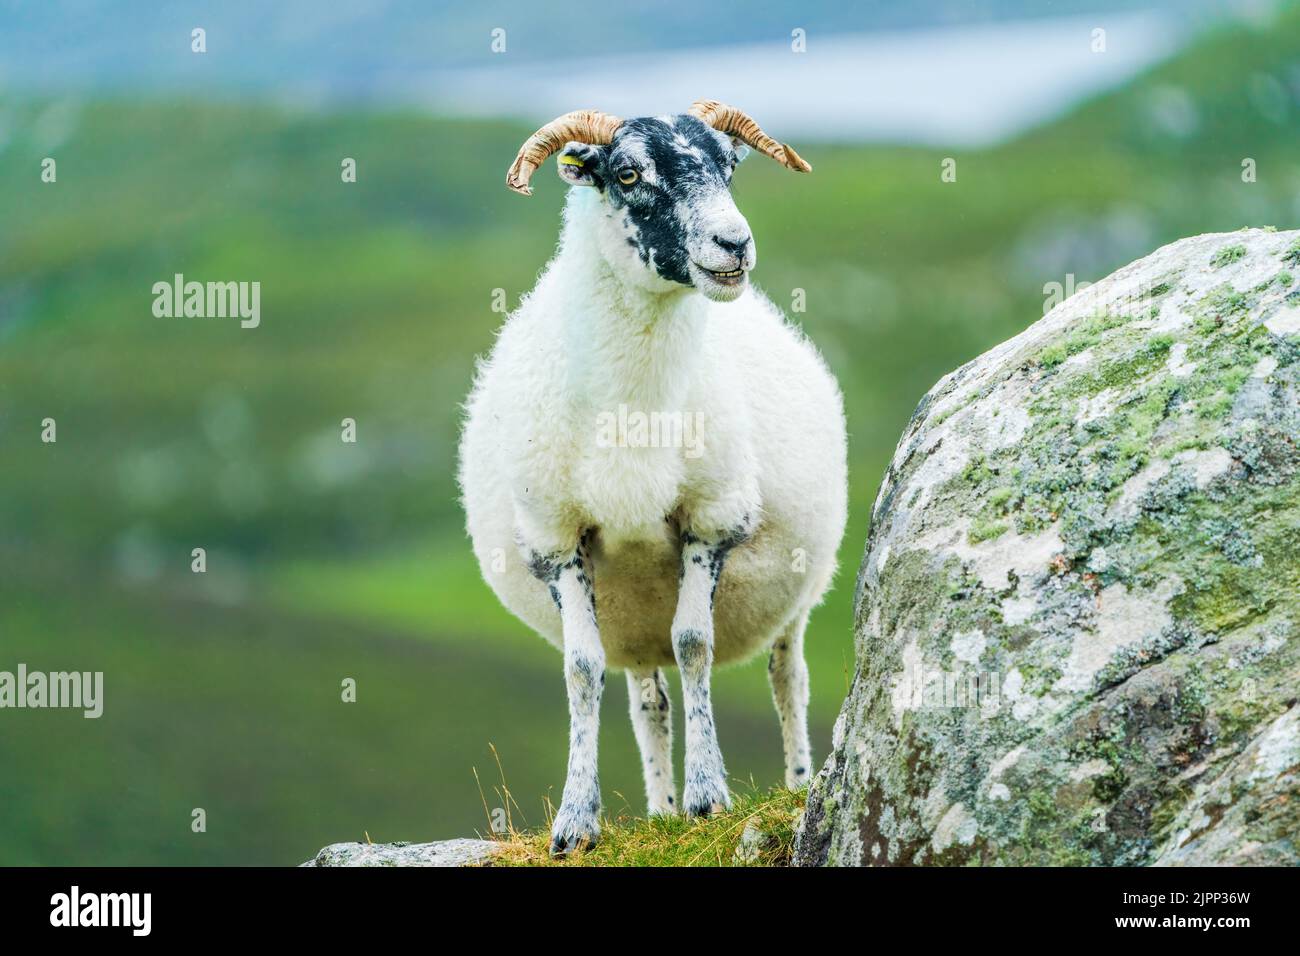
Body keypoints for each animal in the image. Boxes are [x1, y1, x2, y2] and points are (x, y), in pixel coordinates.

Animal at [458, 100, 848, 855]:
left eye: (727, 166)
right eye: (628, 173)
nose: (735, 244)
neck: (633, 410)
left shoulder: (713, 518)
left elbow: (695, 645)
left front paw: (708, 797)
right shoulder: (555, 539)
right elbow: (582, 672)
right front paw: (576, 822)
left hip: (799, 588)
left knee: (788, 678)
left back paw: (793, 781)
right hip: (632, 616)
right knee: (649, 703)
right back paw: (660, 811)